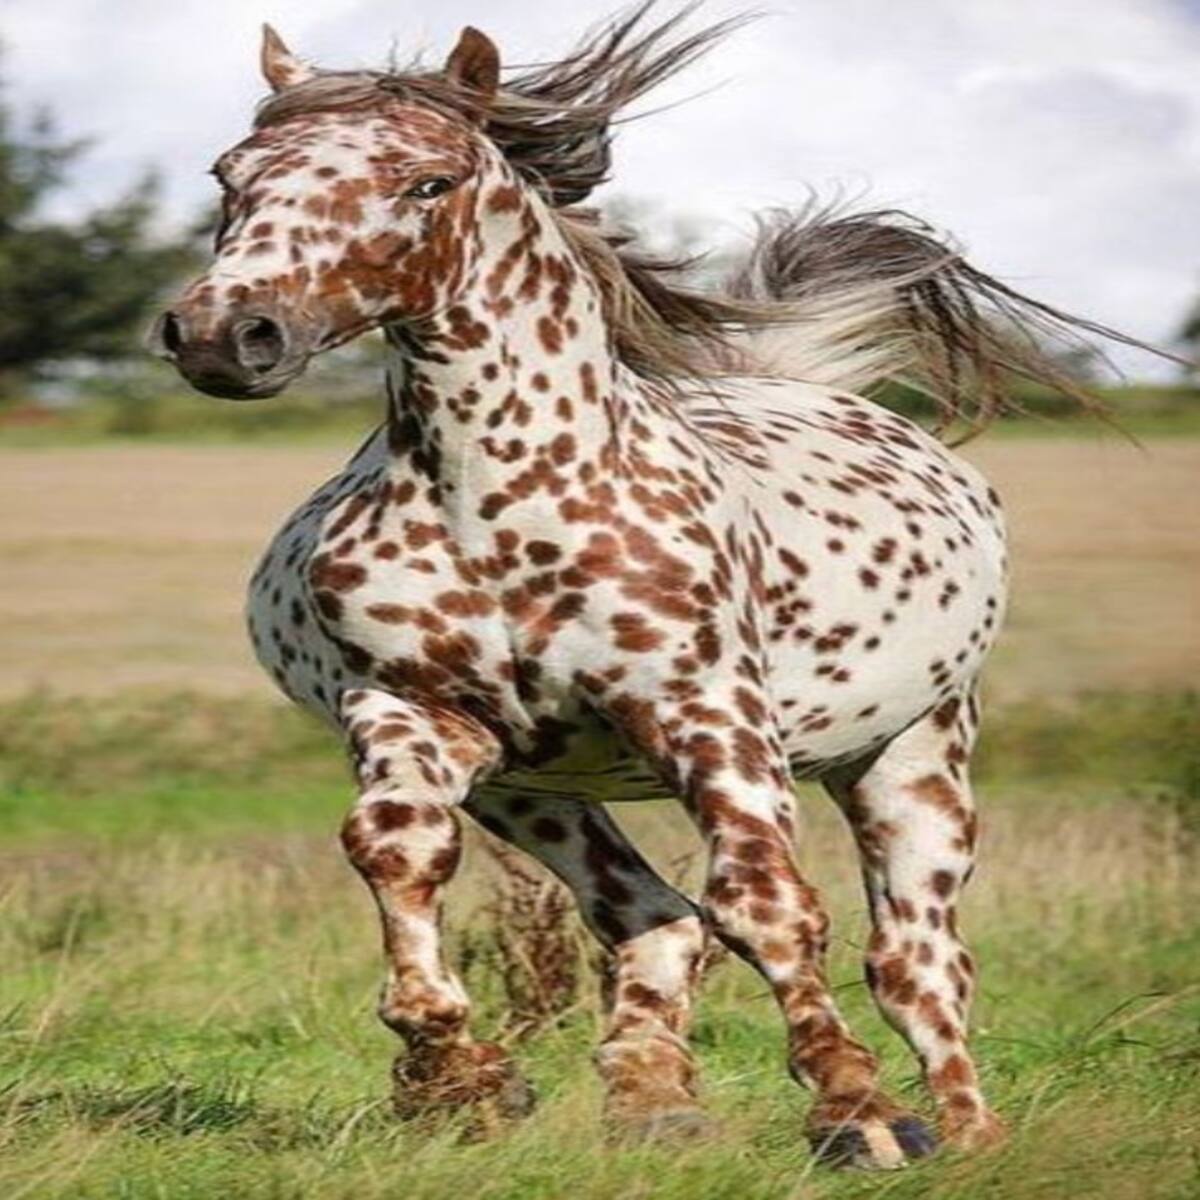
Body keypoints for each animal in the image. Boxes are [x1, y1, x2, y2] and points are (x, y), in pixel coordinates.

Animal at [150, 7, 1152, 1169]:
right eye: (231, 176)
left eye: (427, 182)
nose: (227, 335)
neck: (504, 504)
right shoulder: (412, 713)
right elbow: (397, 850)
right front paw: (457, 1078)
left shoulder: (712, 720)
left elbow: (767, 907)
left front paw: (856, 1112)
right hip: (534, 786)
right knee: (650, 914)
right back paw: (653, 1099)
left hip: (913, 753)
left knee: (918, 964)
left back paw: (963, 1129)